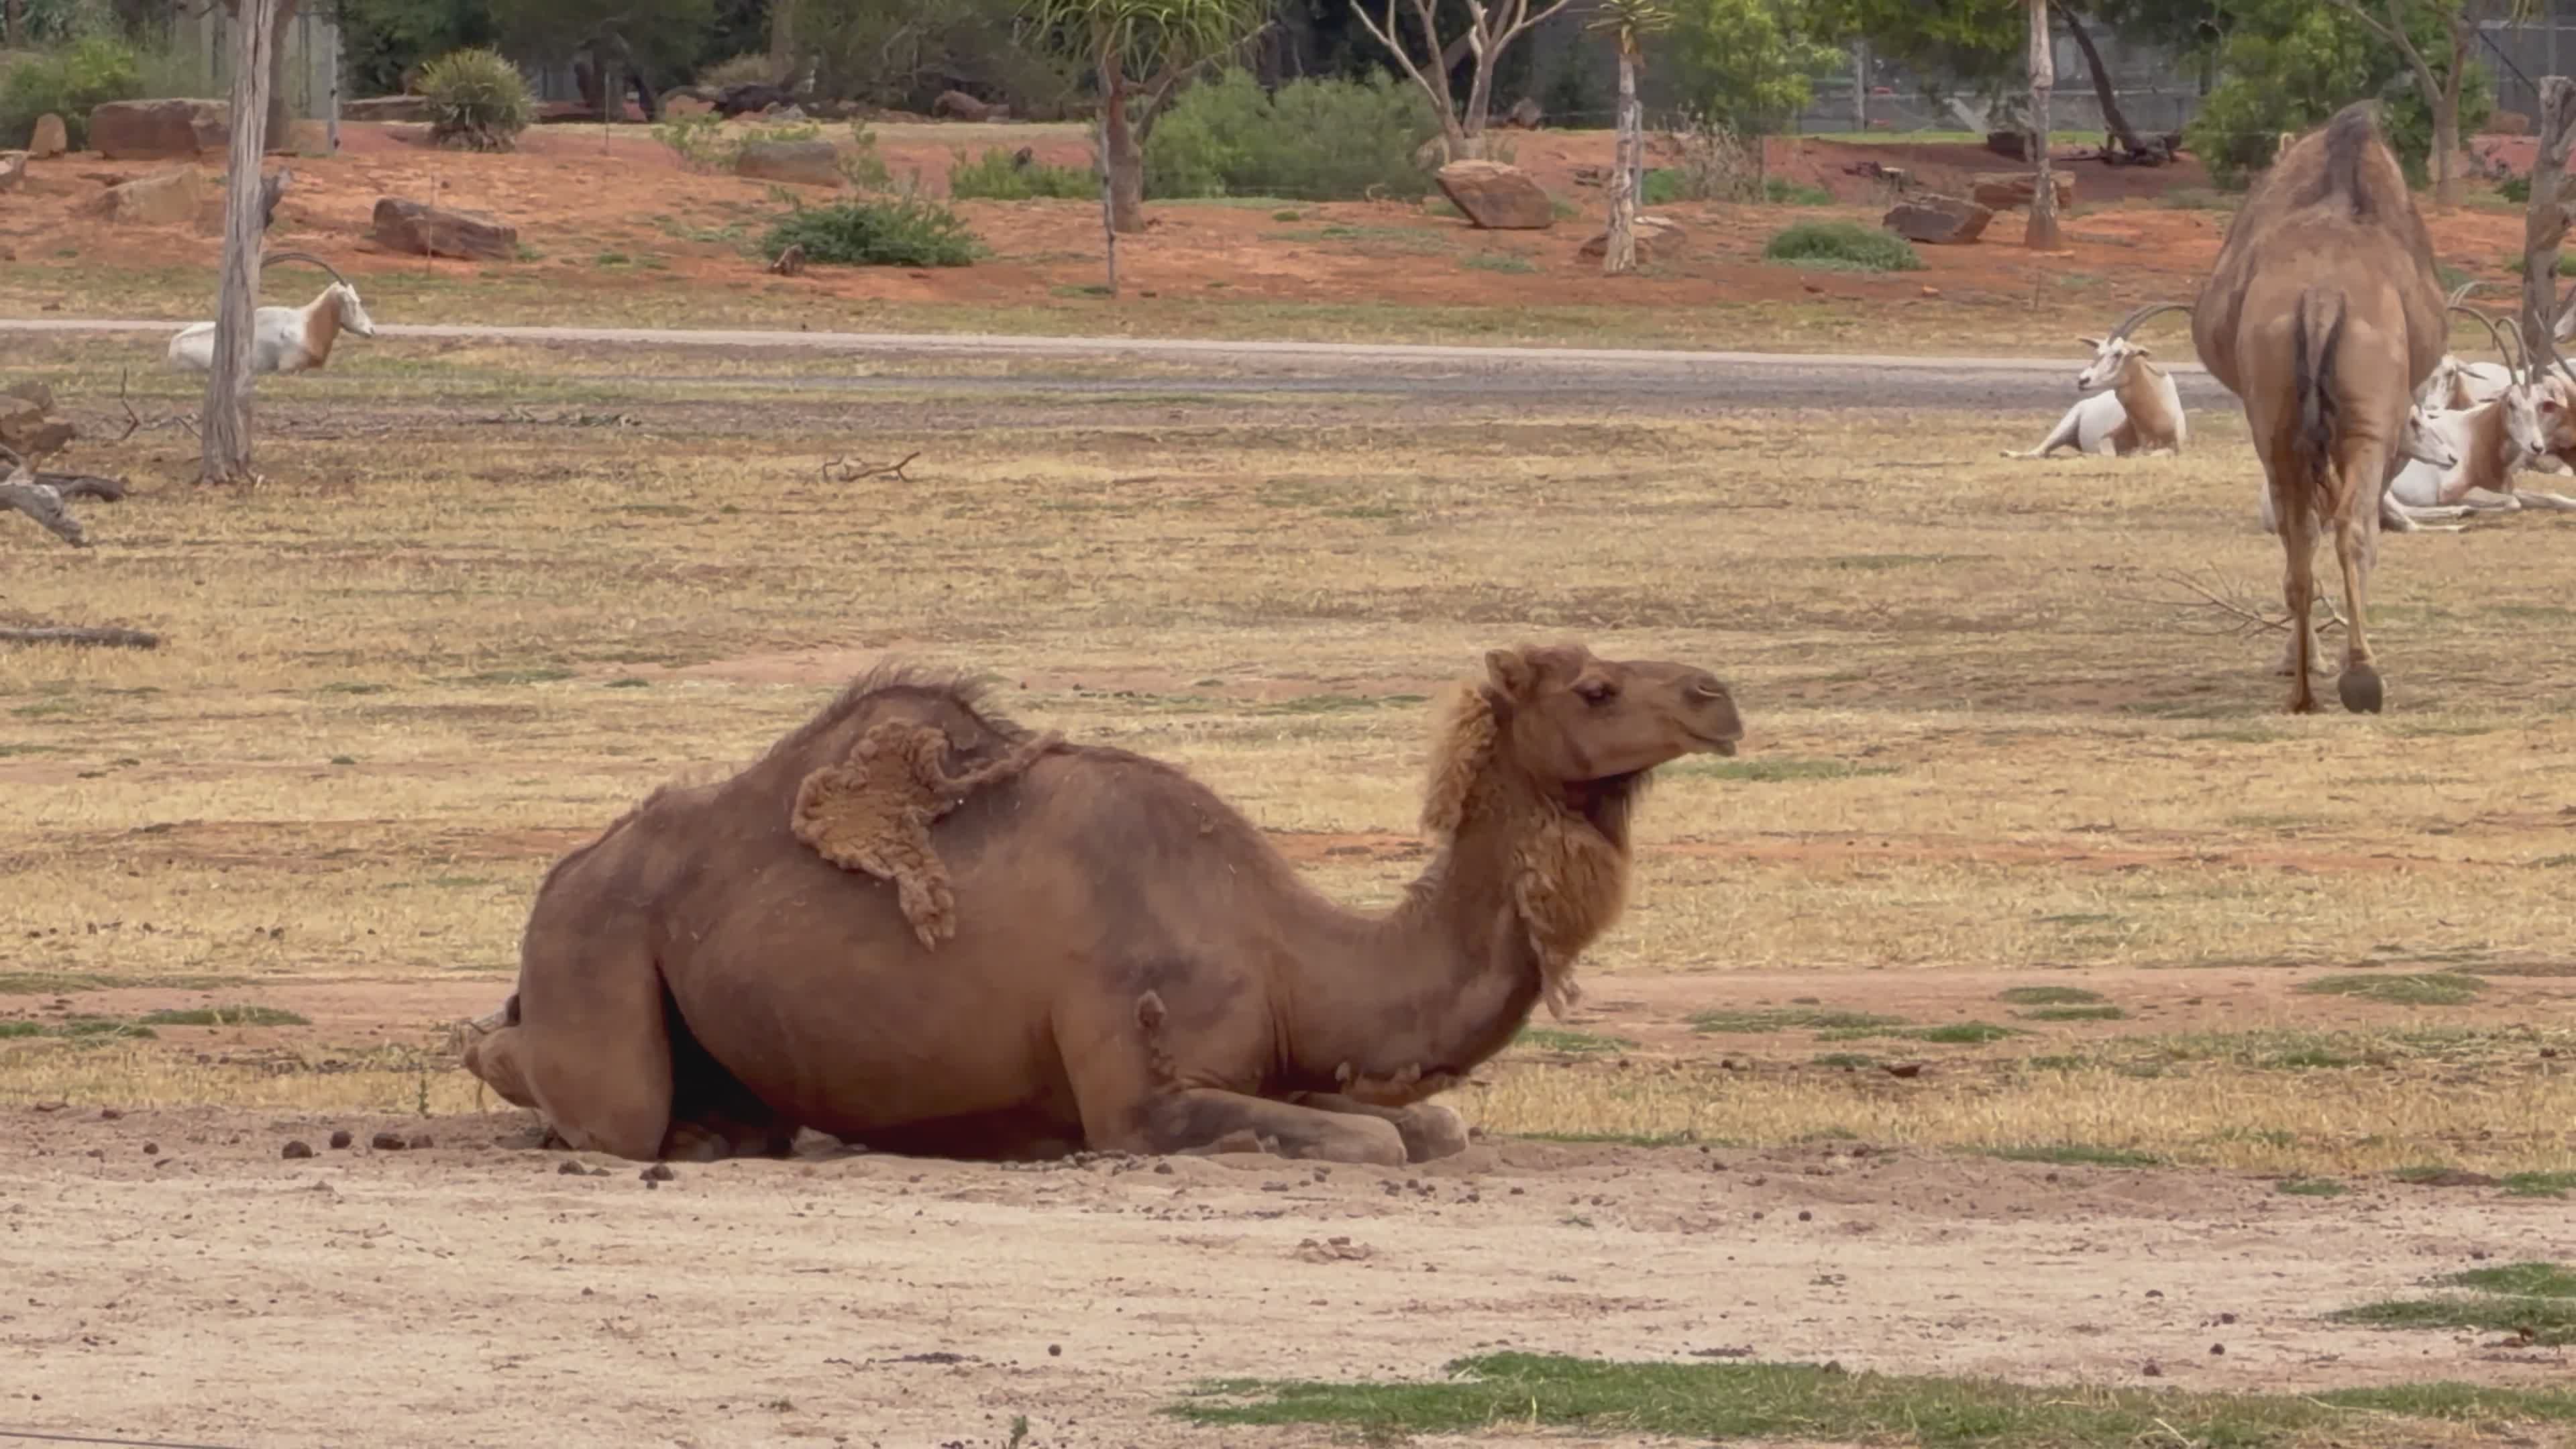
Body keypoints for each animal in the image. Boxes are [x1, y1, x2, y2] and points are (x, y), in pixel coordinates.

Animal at [457, 643, 1744, 1167]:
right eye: (1596, 687)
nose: (1718, 698)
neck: (1293, 953)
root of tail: (562, 877)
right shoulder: (1143, 1097)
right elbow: (1377, 1139)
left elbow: (1433, 1127)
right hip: (590, 952)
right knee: (594, 1103)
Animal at [2190, 102, 2447, 714]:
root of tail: (2323, 295)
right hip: (2363, 421)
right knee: (2347, 526)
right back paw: (2356, 672)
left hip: (2277, 419)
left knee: (2303, 532)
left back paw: (2308, 686)